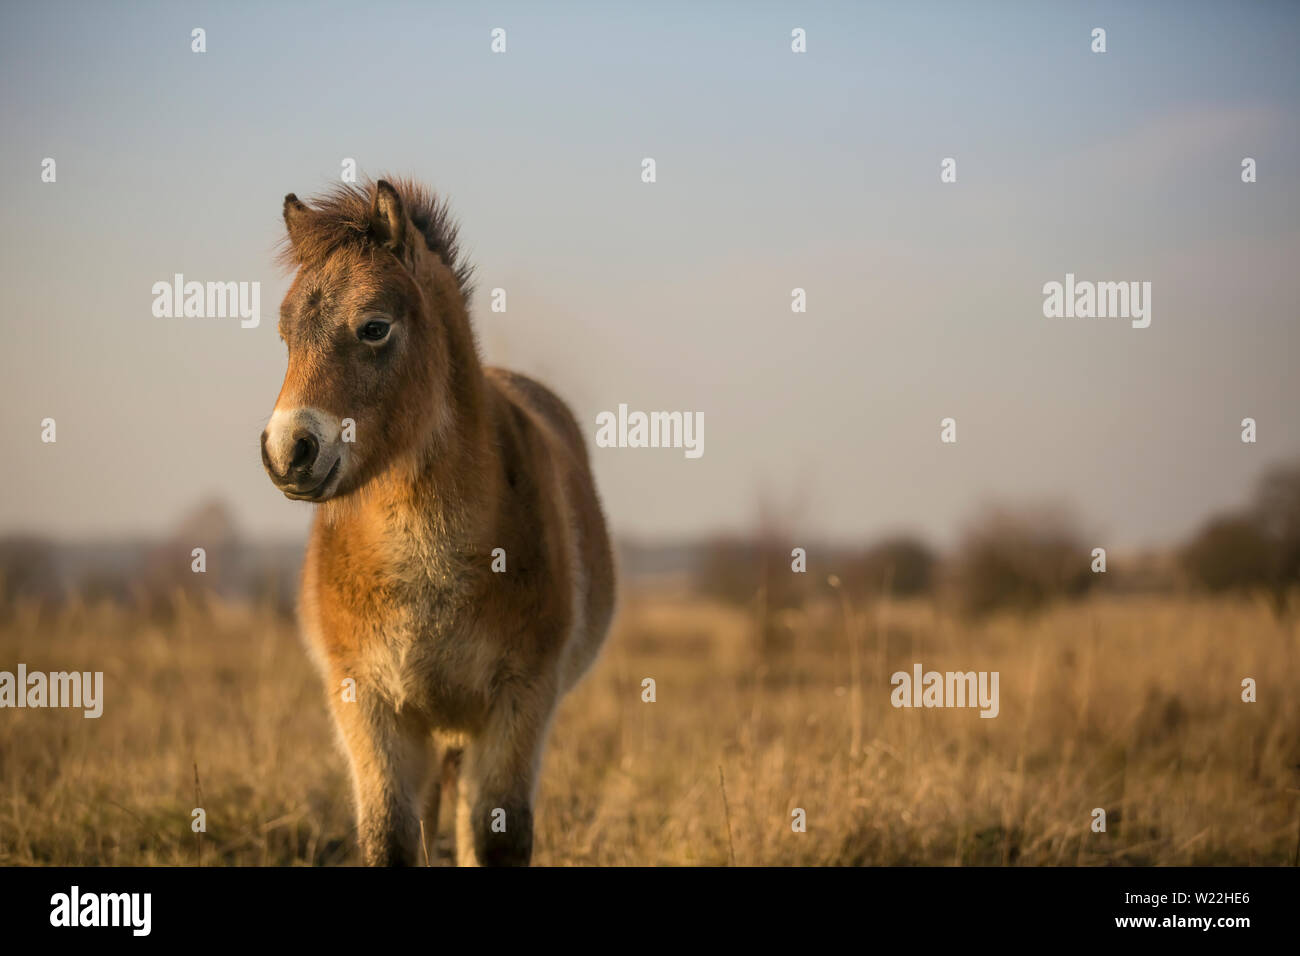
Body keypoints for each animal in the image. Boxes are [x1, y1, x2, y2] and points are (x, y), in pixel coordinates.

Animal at [260, 177, 615, 866]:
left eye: (374, 327)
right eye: (286, 334)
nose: (289, 451)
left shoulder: (520, 703)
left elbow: (495, 834)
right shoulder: (370, 706)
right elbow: (391, 837)